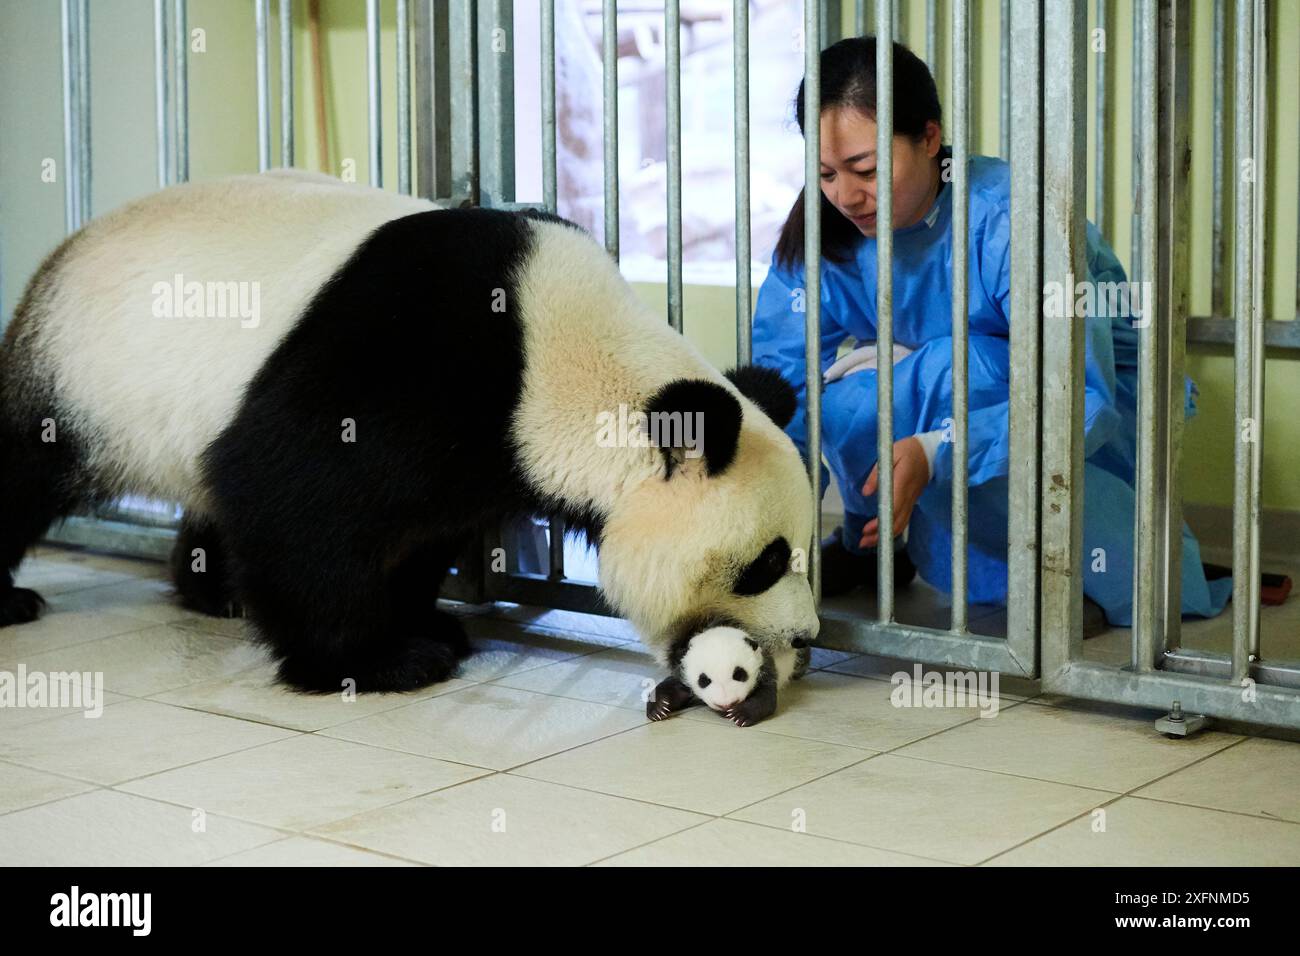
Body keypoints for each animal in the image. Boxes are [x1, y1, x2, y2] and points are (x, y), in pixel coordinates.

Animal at [0, 170, 819, 693]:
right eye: (766, 563)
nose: (808, 638)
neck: (557, 352)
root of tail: (63, 251)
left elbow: (421, 532)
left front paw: (427, 627)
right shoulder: (403, 357)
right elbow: (295, 494)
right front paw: (375, 662)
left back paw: (215, 589)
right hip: (85, 372)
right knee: (24, 463)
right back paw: (13, 601)